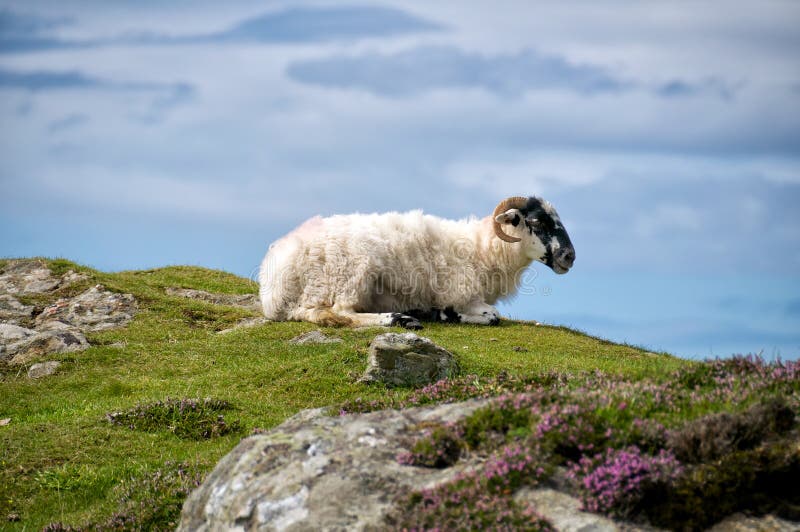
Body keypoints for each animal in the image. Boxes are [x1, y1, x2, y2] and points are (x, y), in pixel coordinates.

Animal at [258, 196, 575, 329]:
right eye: (537, 222)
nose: (569, 256)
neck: (483, 249)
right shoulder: (463, 296)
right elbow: (493, 316)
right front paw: (445, 315)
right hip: (351, 272)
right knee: (340, 312)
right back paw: (401, 319)